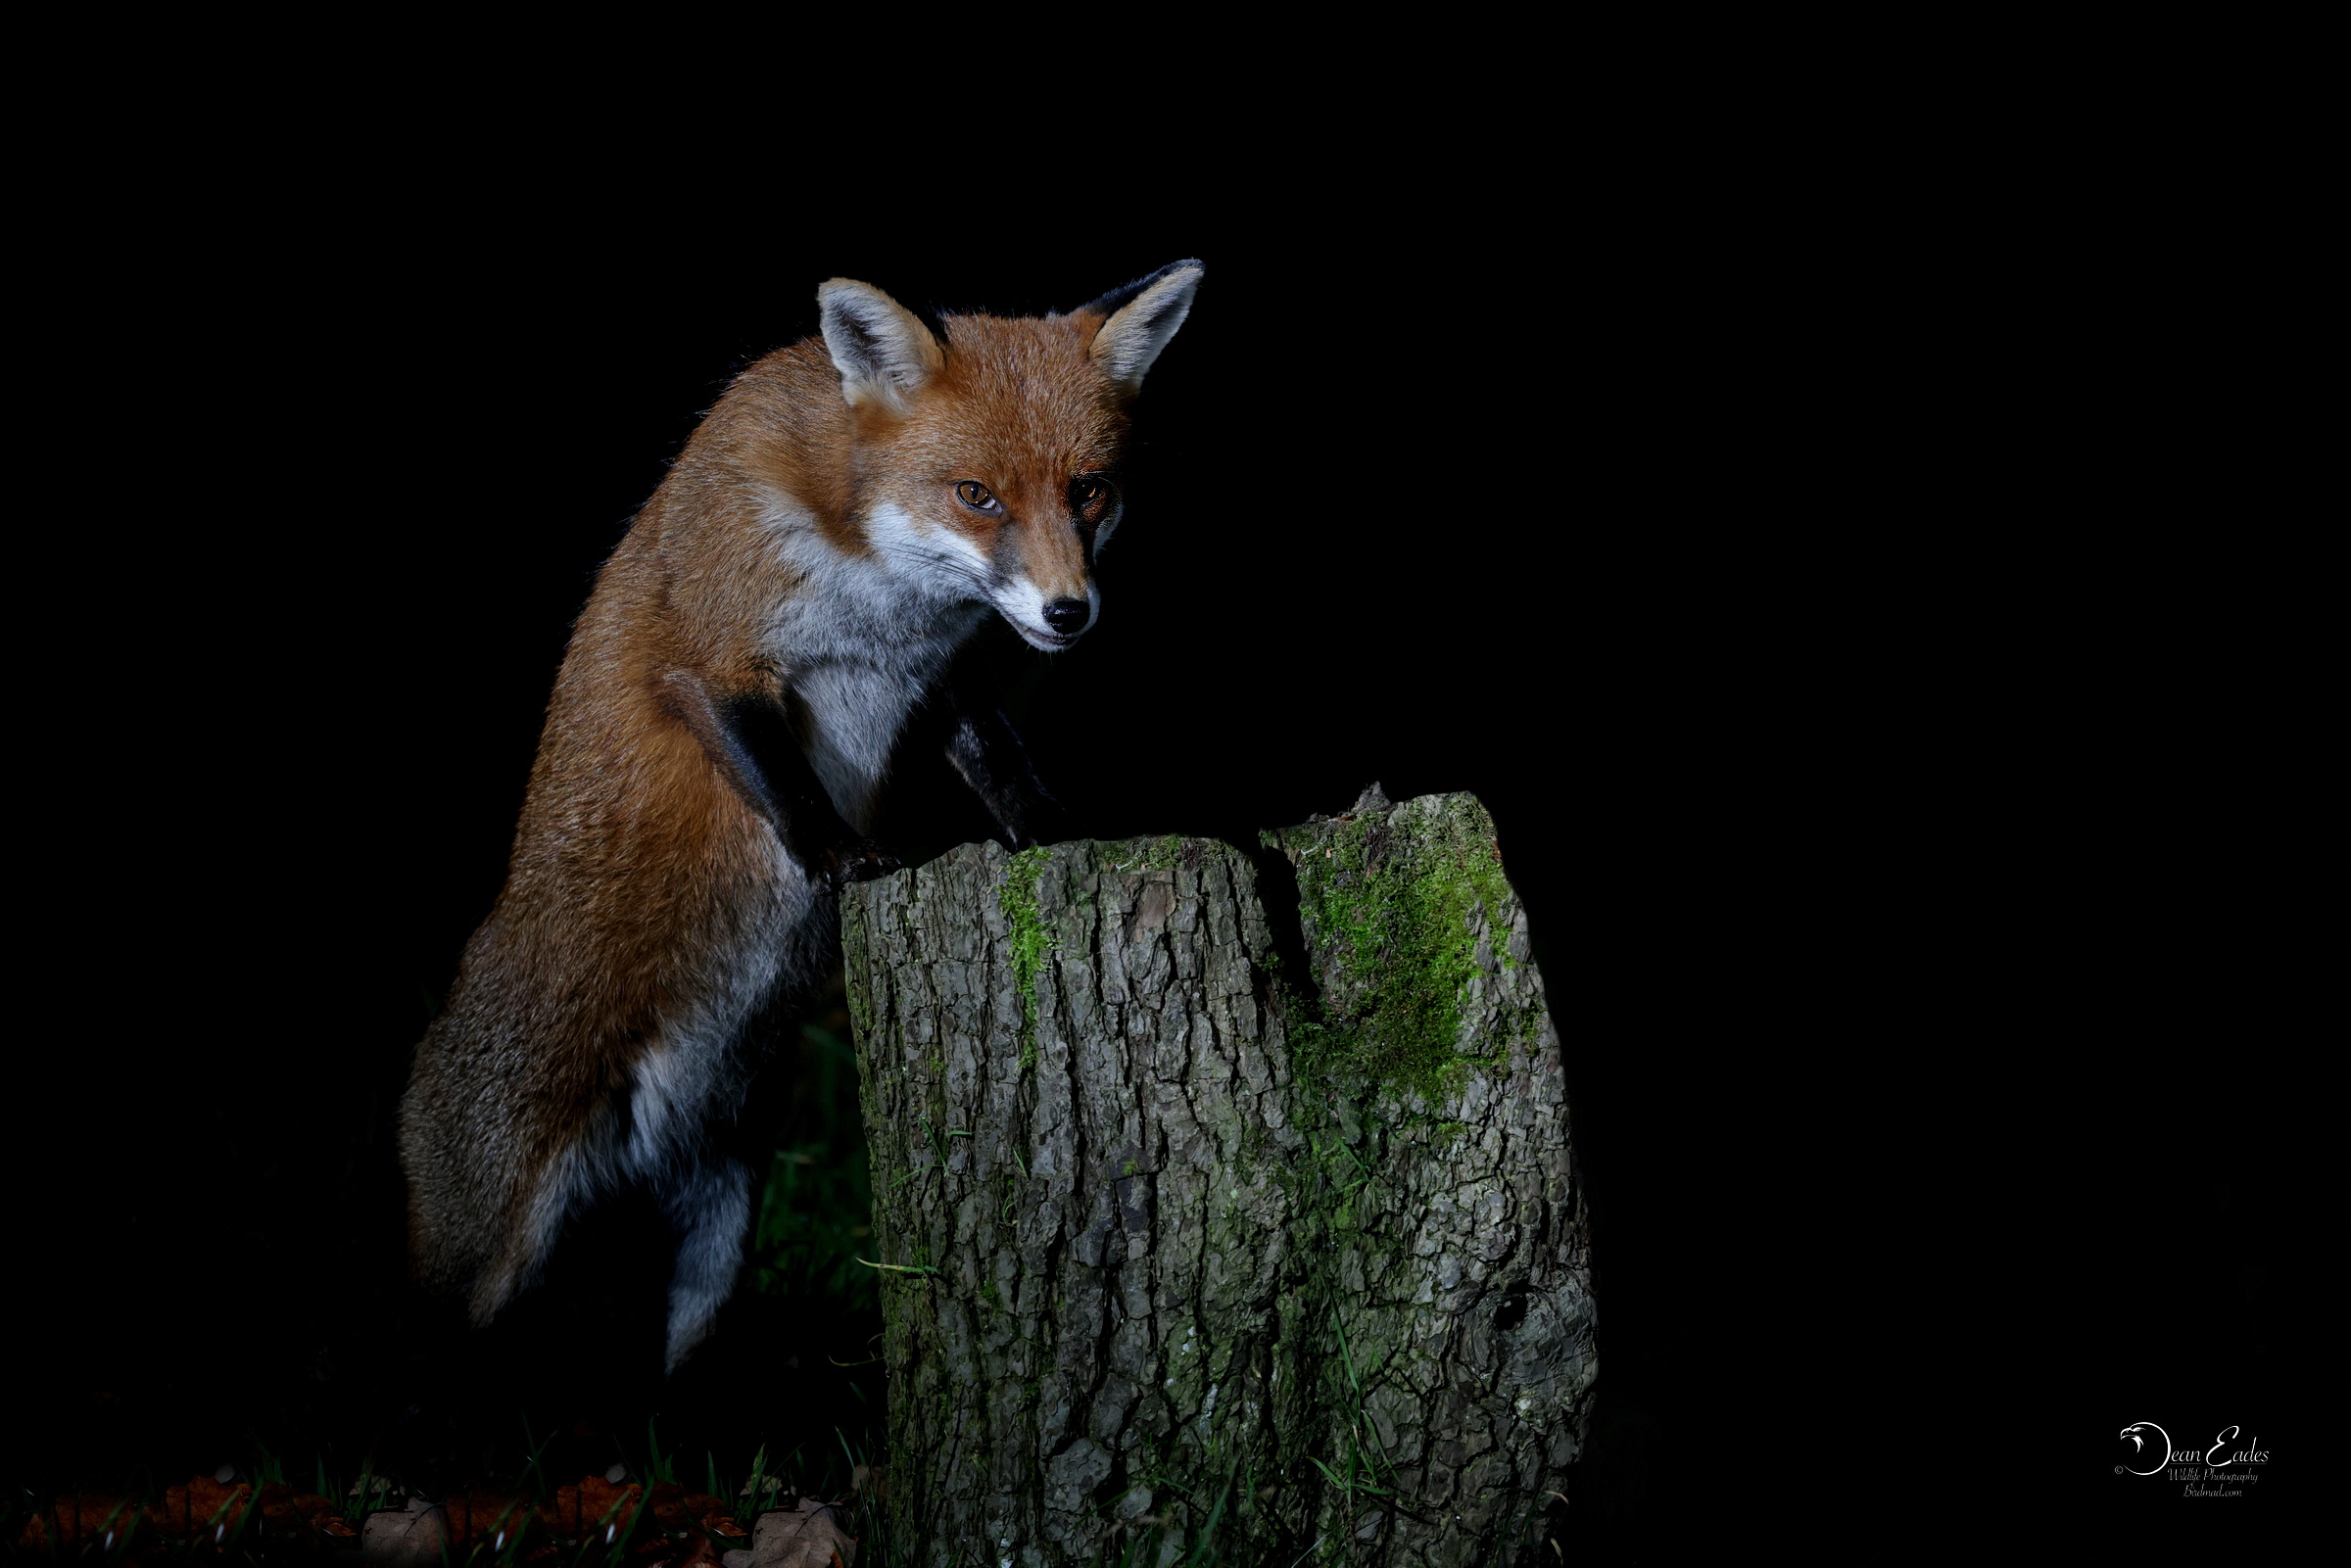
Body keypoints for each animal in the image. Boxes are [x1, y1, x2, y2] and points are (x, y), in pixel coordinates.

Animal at [398, 260, 1204, 1374]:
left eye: (1089, 490)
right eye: (977, 494)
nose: (1067, 613)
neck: (874, 586)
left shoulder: (937, 673)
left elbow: (999, 758)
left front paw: (1047, 827)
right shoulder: (712, 657)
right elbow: (782, 781)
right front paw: (843, 856)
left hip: (717, 1240)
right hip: (491, 1266)